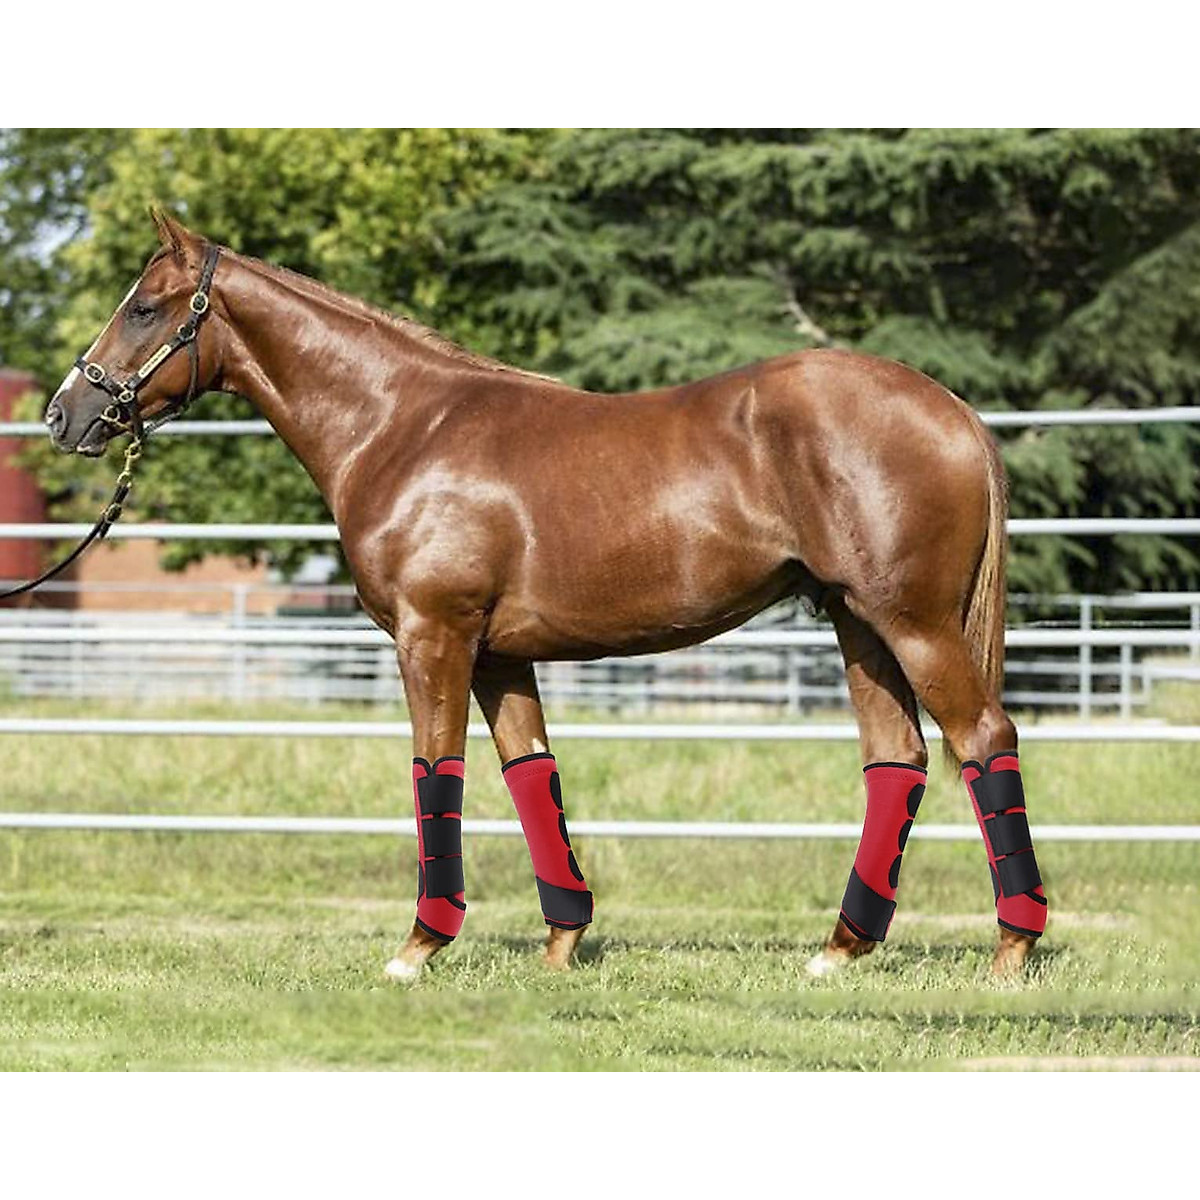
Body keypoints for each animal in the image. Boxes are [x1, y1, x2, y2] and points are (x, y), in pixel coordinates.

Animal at [44, 210, 1047, 982]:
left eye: (144, 308)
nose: (64, 415)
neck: (402, 426)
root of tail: (954, 410)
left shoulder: (433, 637)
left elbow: (435, 772)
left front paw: (418, 948)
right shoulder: (501, 656)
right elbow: (530, 775)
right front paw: (563, 943)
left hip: (912, 623)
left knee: (982, 739)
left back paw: (1011, 949)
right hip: (857, 624)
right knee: (897, 761)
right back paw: (841, 950)